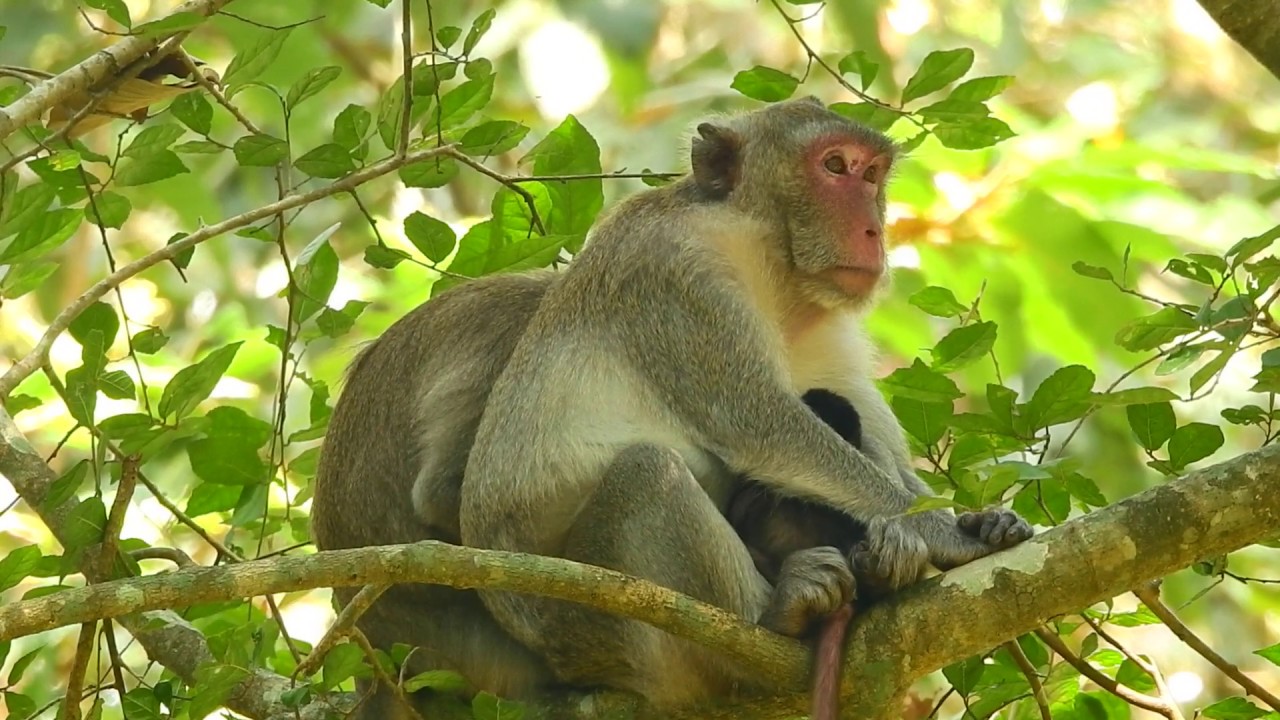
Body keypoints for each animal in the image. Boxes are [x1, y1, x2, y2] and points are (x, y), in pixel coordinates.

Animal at [311, 97, 1034, 718]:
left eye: (872, 173)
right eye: (833, 166)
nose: (872, 229)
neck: (771, 264)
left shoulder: (828, 324)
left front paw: (958, 522)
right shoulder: (681, 278)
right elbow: (763, 429)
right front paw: (940, 534)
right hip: (597, 631)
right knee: (648, 475)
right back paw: (778, 613)